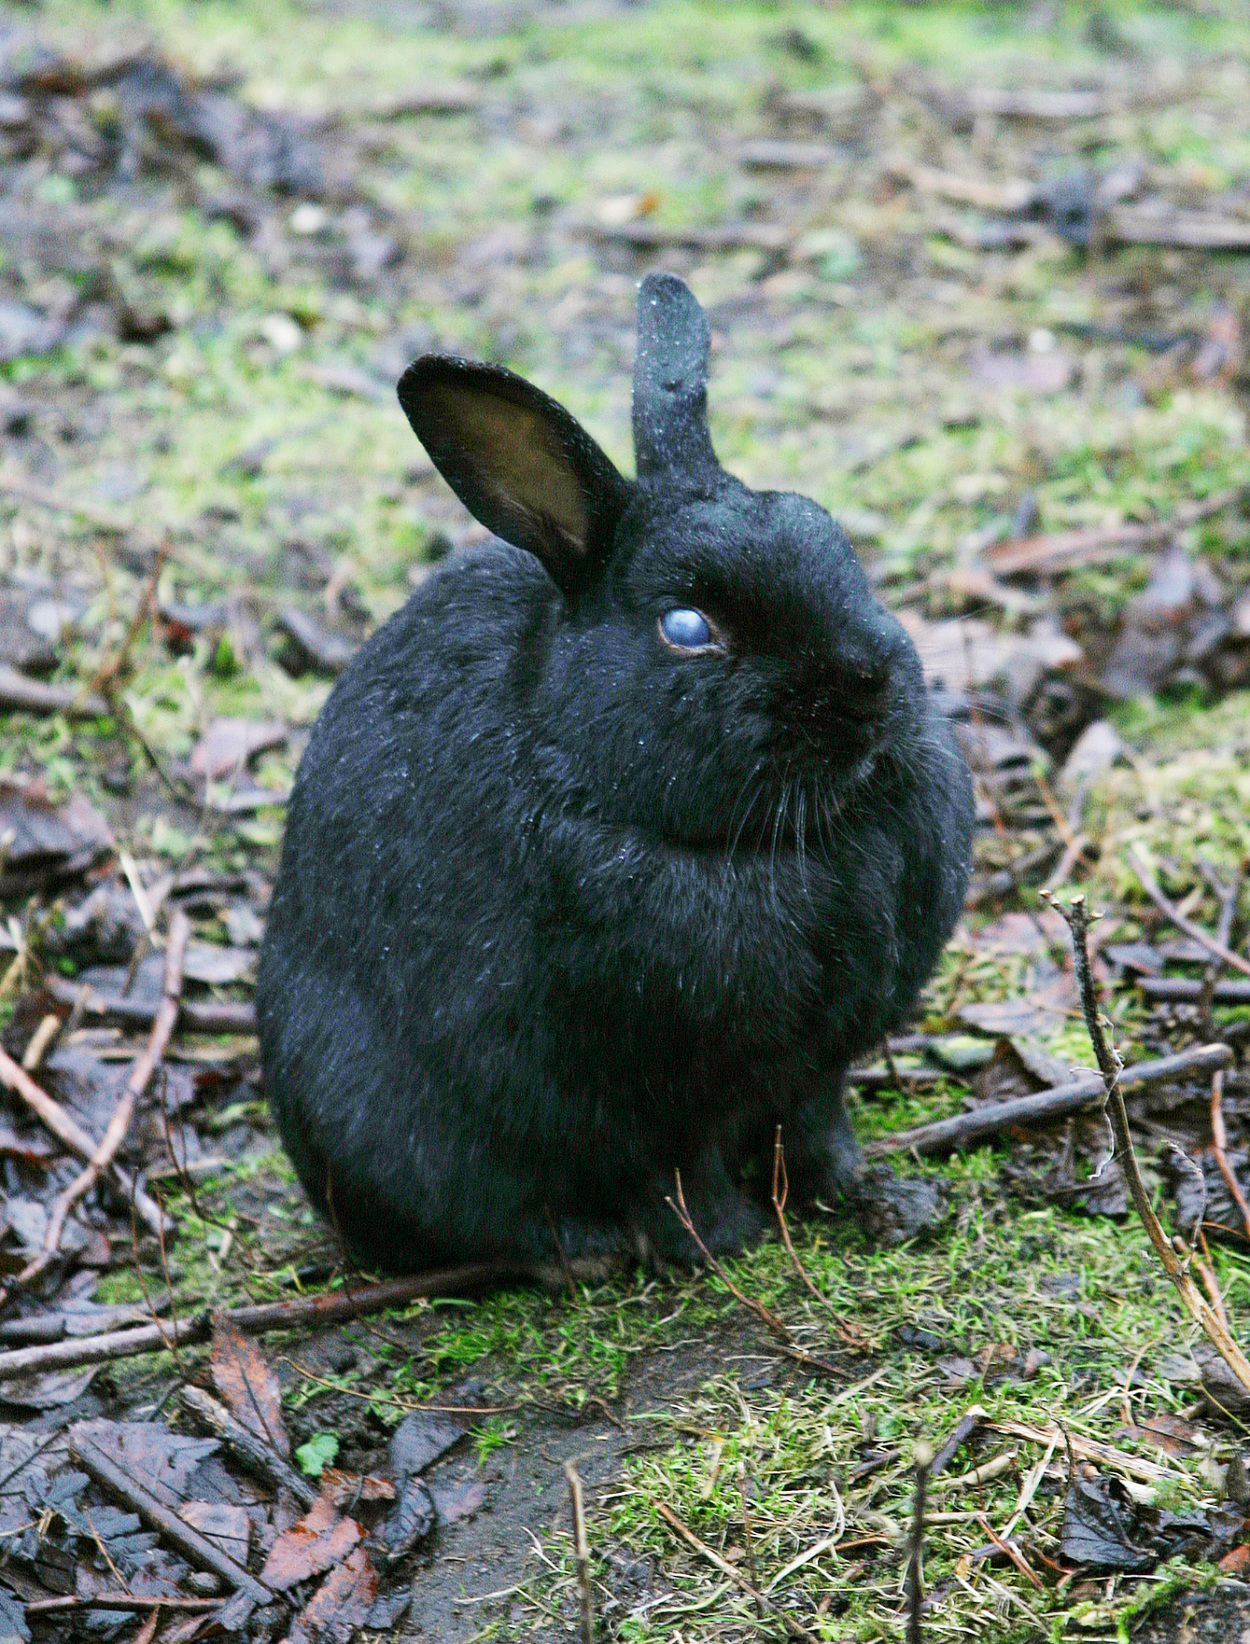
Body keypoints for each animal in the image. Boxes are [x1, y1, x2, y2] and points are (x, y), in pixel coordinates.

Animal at [256, 273, 975, 1274]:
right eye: (687, 628)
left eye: (832, 537)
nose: (869, 681)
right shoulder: (650, 1101)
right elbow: (678, 1175)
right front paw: (723, 1245)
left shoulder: (813, 1073)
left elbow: (813, 1127)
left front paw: (865, 1193)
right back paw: (582, 1253)